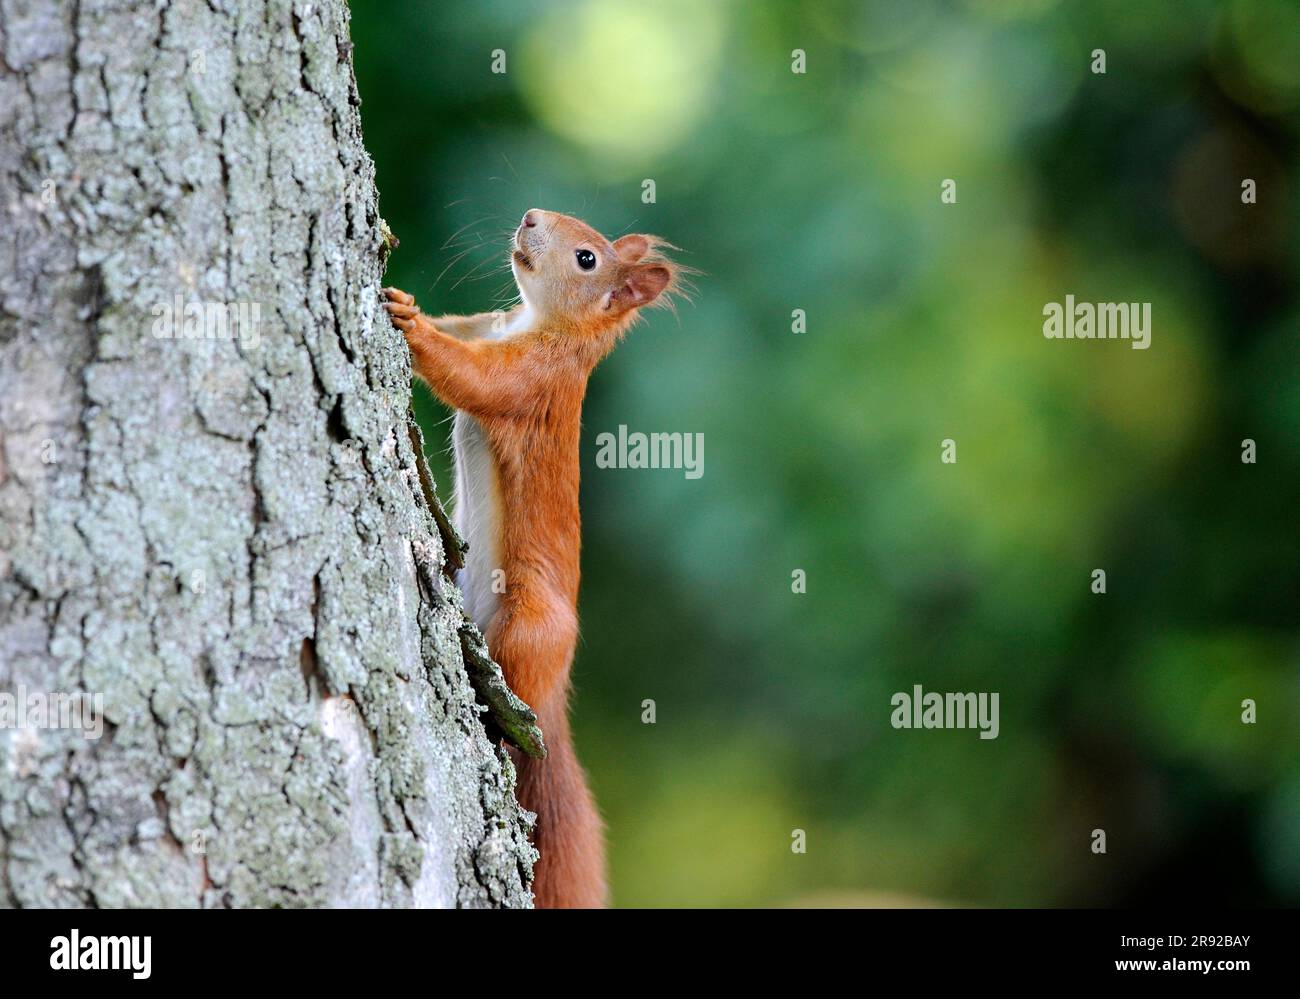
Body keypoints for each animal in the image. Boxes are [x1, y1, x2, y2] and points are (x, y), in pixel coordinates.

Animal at [383, 209, 684, 908]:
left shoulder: (533, 381)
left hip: (531, 623)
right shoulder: (488, 325)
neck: (536, 324)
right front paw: (408, 296)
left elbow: (474, 379)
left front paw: (408, 324)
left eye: (586, 259)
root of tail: (553, 699)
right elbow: (459, 330)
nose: (529, 217)